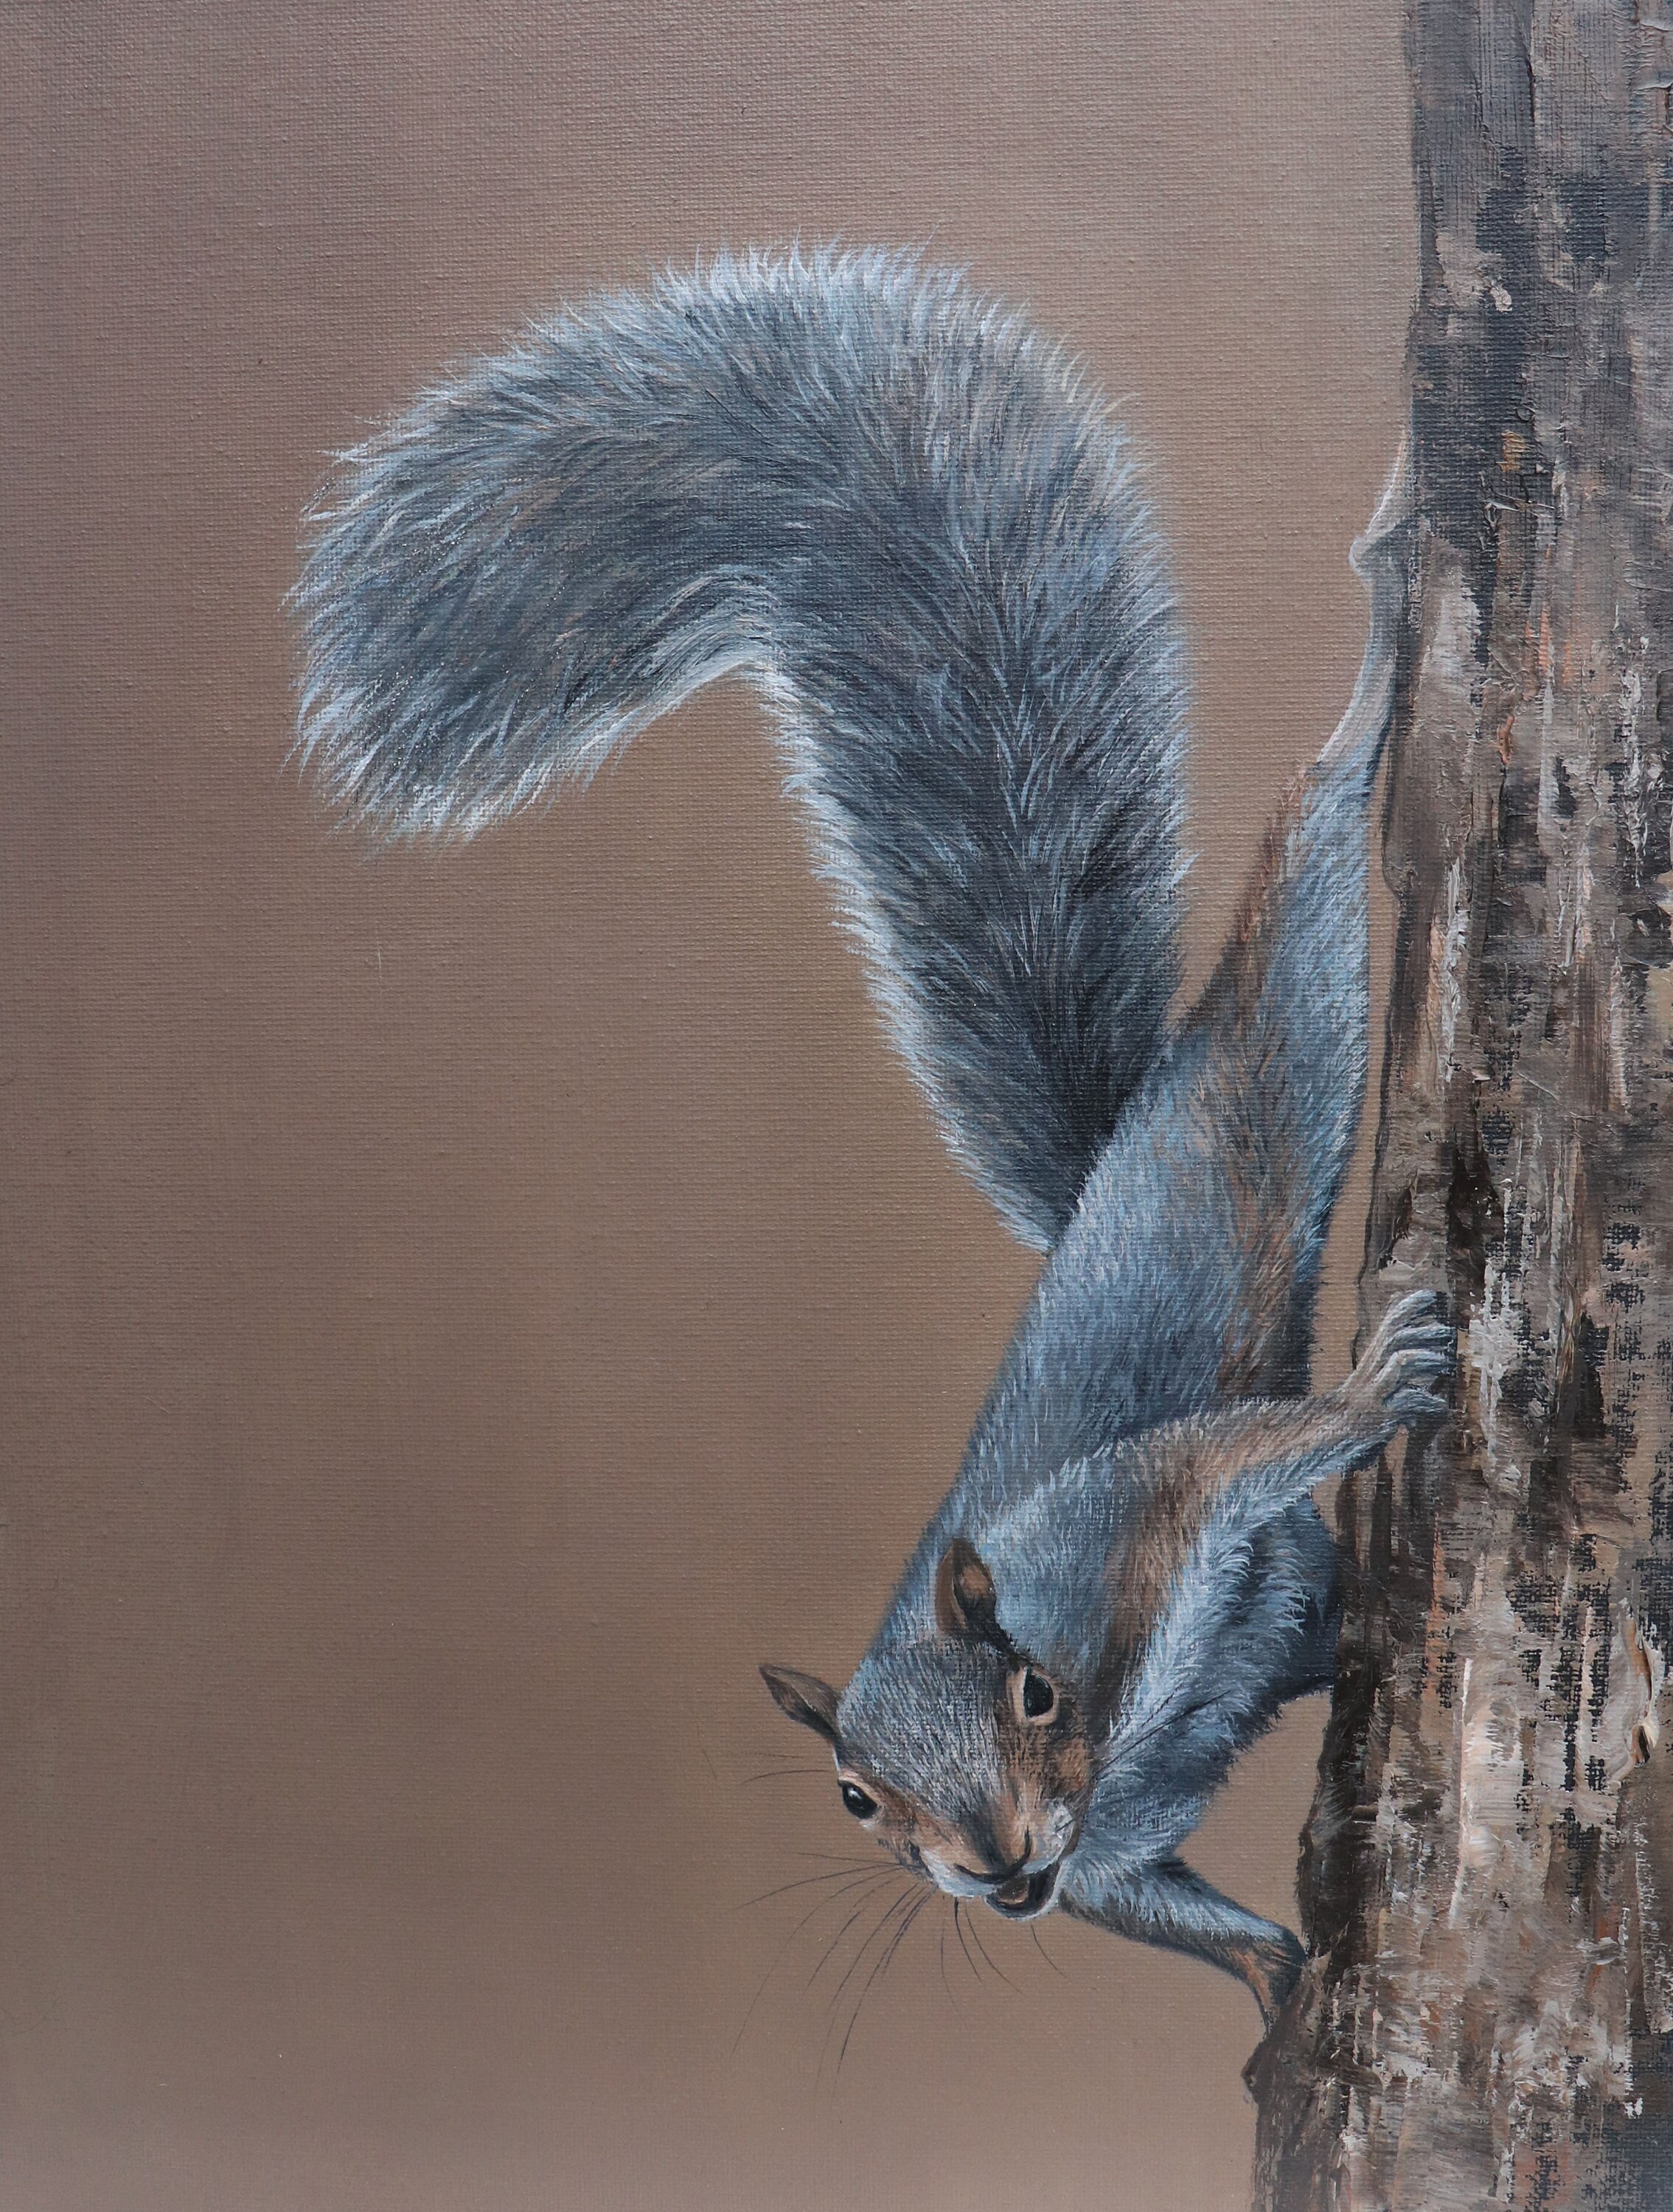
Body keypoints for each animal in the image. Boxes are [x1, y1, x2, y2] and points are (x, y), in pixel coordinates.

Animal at [293, 248, 1445, 2026]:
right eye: (853, 1799)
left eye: (1031, 1693)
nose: (995, 1872)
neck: (1096, 1738)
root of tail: (1114, 1155)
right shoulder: (1110, 1859)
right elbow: (1175, 1912)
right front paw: (1272, 1989)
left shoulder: (1127, 1533)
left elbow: (1217, 1456)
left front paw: (1377, 1389)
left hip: (1249, 1094)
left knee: (1301, 886)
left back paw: (1385, 626)